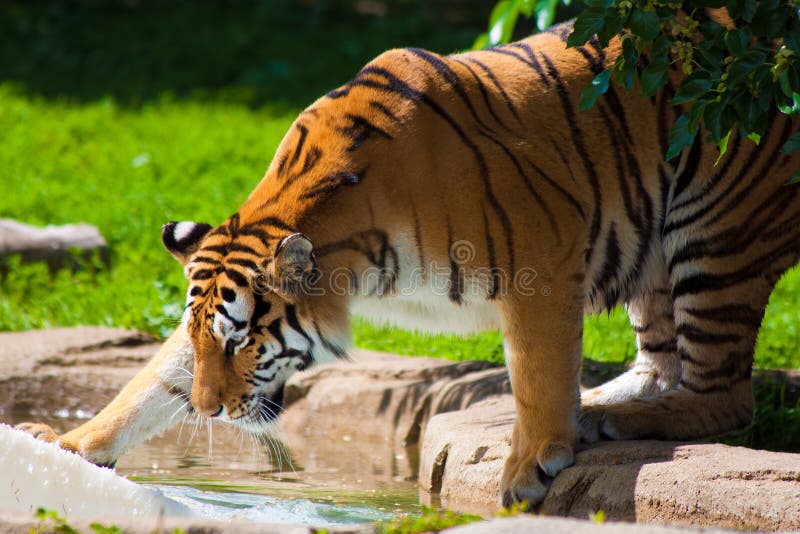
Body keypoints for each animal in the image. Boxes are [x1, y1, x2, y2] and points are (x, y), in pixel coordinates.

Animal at [19, 17, 800, 509]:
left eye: (243, 343)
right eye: (212, 339)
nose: (209, 411)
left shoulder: (542, 260)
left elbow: (537, 372)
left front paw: (527, 467)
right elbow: (149, 381)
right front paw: (67, 443)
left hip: (714, 229)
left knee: (726, 396)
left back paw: (608, 421)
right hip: (653, 249)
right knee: (665, 364)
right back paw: (609, 403)